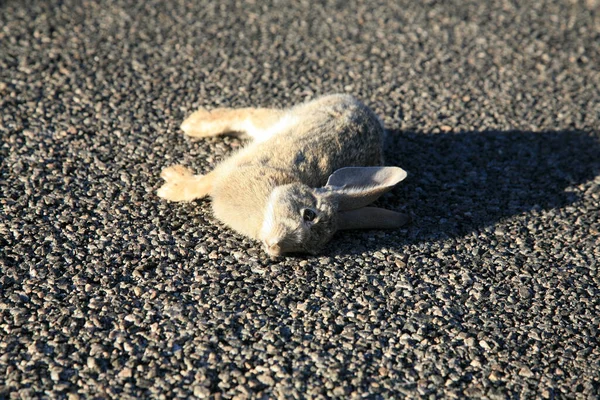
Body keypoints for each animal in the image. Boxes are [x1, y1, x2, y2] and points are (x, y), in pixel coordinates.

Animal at [157, 94, 410, 256]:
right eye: (309, 214)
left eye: (307, 249)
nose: (275, 249)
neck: (273, 195)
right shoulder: (233, 168)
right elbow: (201, 184)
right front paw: (170, 187)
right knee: (246, 115)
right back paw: (193, 123)